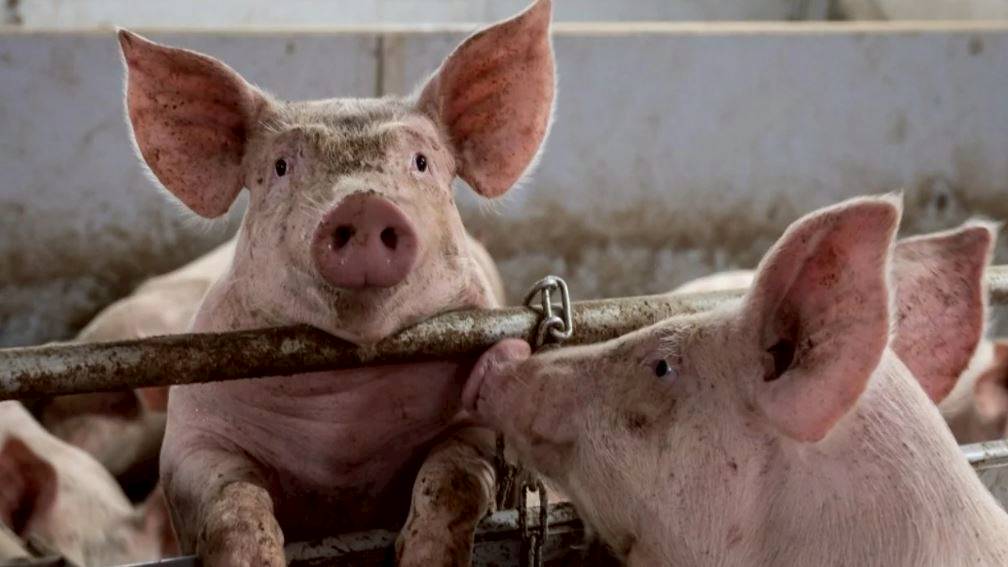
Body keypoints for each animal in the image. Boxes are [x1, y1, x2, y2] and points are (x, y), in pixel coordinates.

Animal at [116, 0, 555, 564]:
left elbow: (452, 478)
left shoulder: (477, 427)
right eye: (281, 166)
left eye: (420, 162)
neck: (342, 437)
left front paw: (425, 555)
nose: (364, 203)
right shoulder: (192, 440)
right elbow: (233, 499)